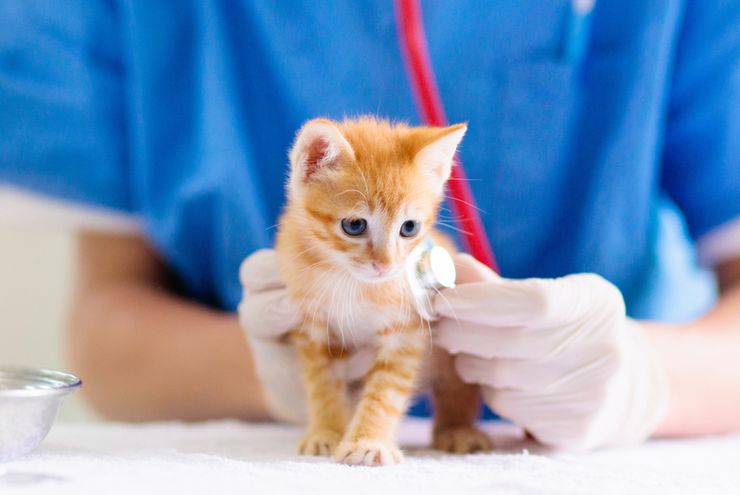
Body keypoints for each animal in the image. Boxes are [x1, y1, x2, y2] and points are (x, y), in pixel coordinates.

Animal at [274, 116, 488, 464]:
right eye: (354, 225)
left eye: (409, 227)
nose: (385, 265)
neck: (351, 282)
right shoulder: (312, 325)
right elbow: (321, 382)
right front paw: (327, 432)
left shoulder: (408, 330)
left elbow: (386, 390)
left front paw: (368, 441)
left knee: (456, 387)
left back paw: (456, 429)